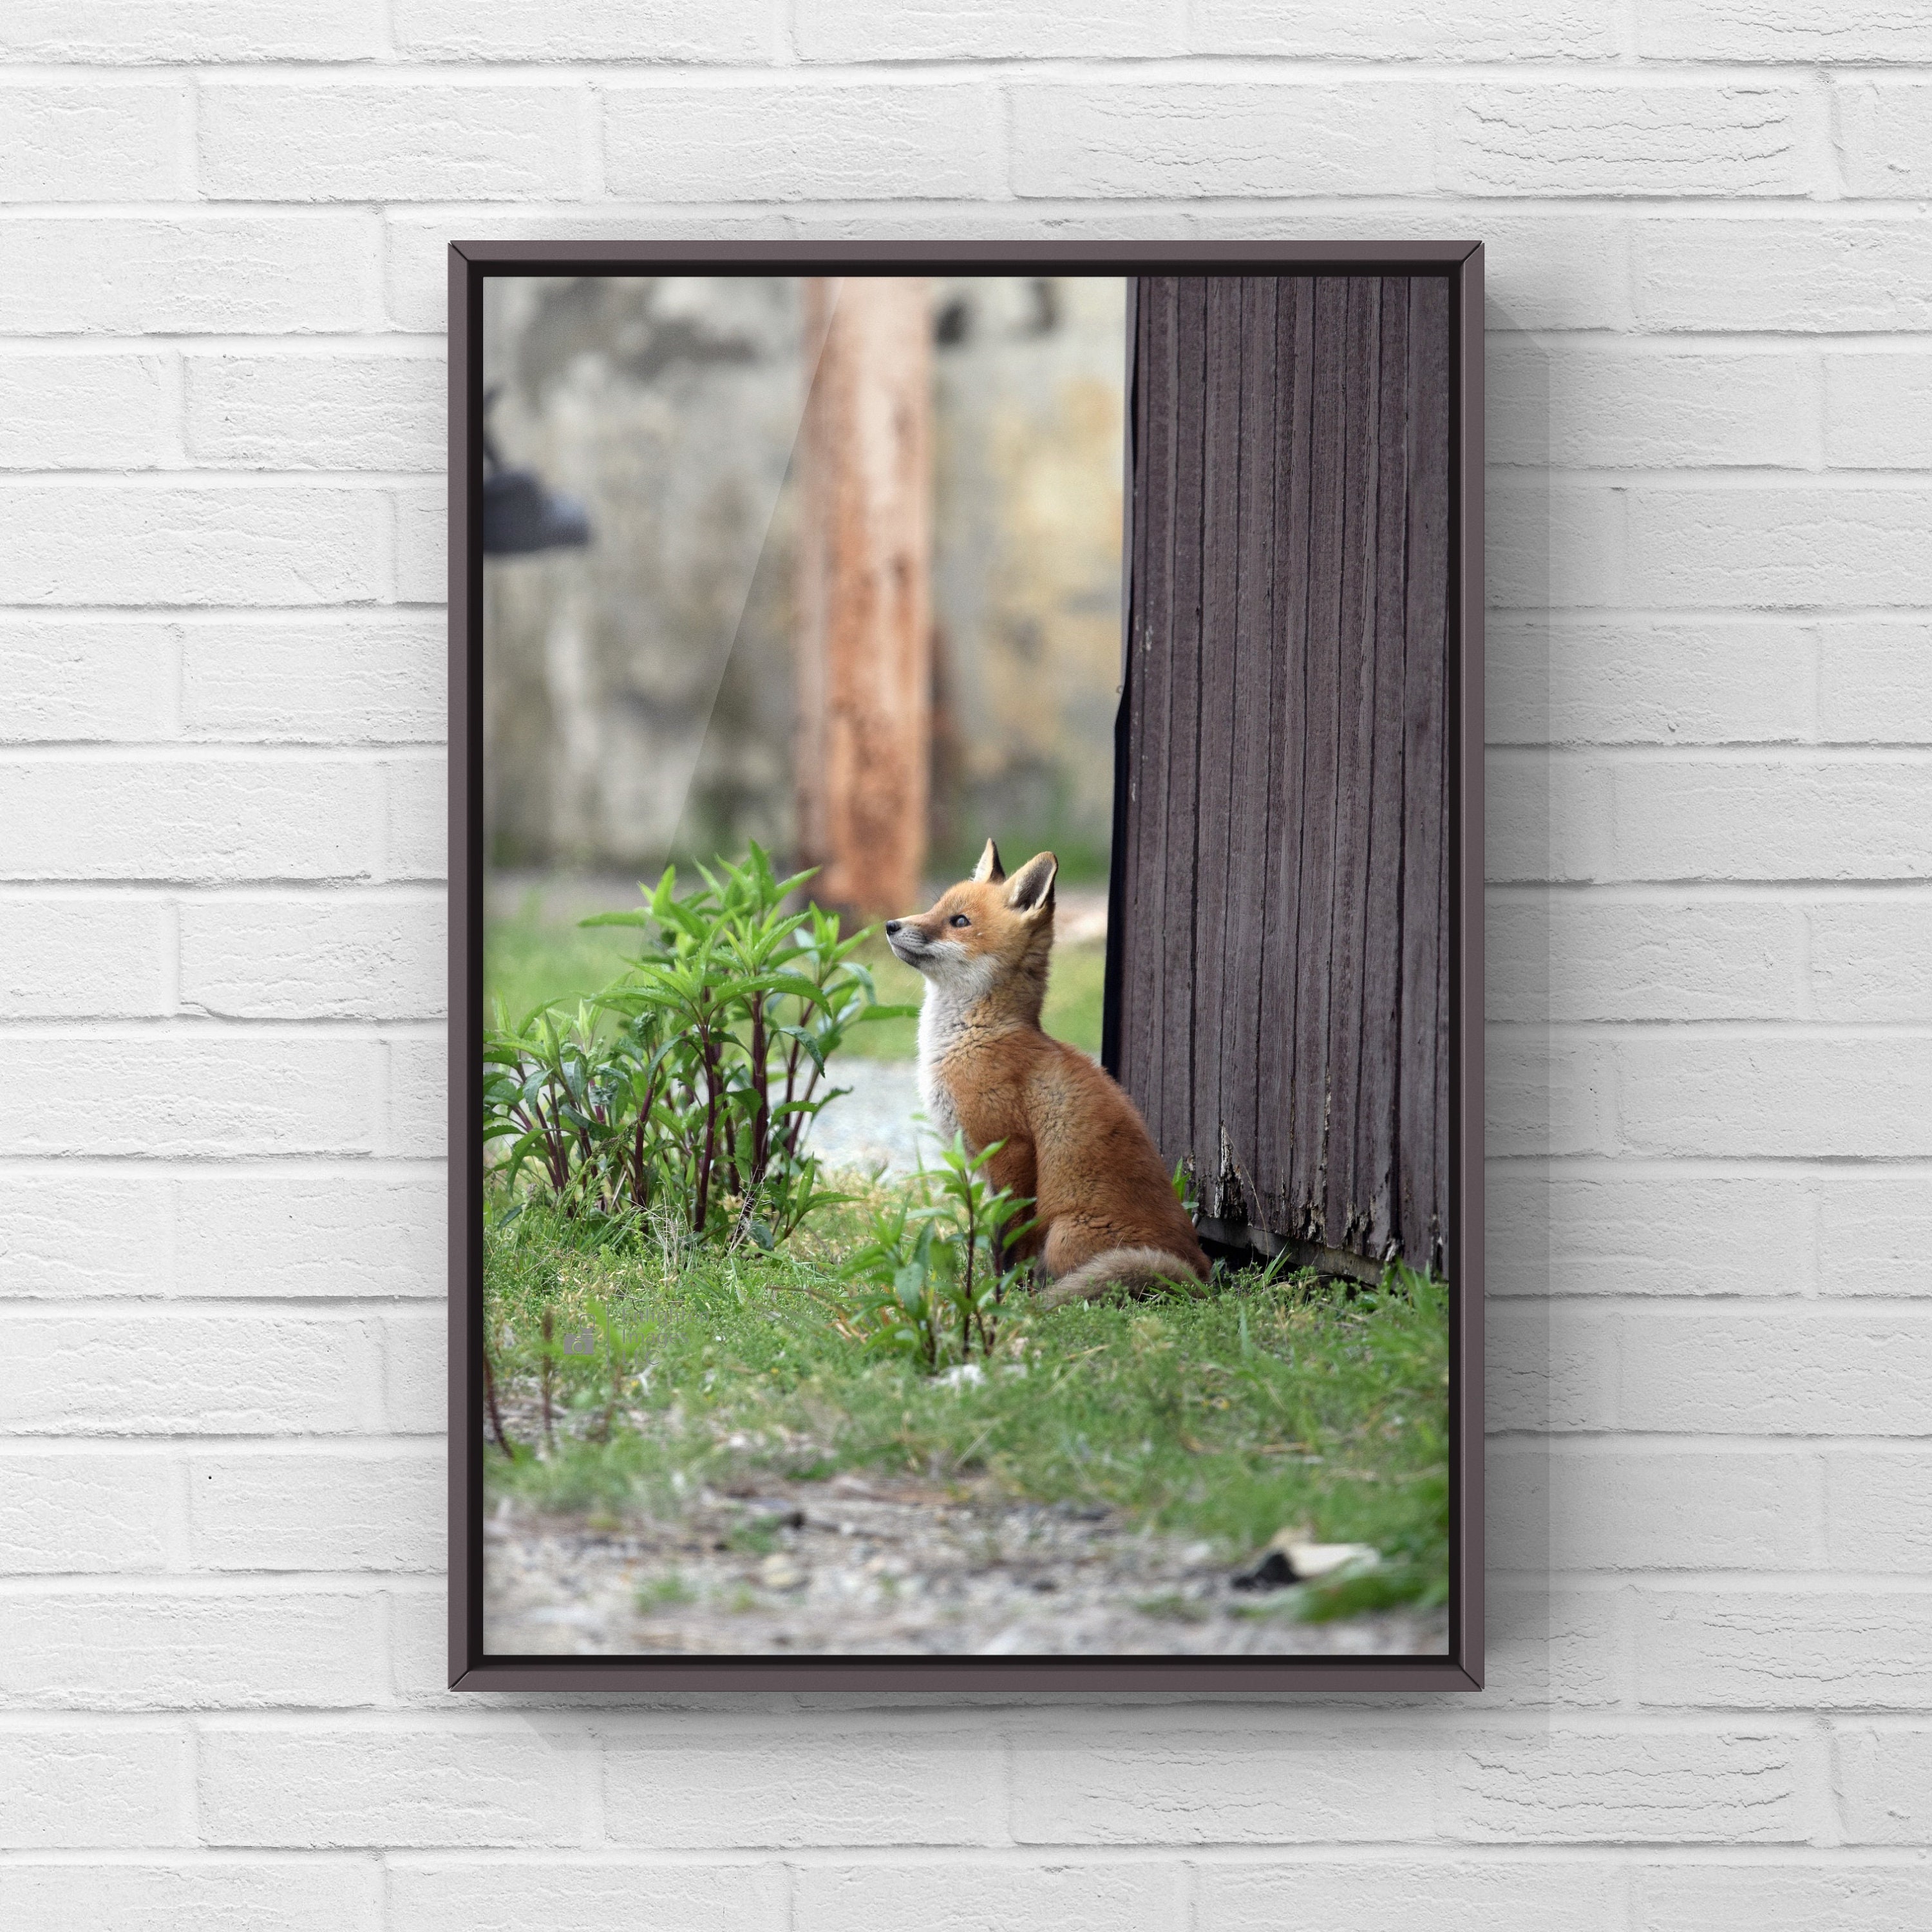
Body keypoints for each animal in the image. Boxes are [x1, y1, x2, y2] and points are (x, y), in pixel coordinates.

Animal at [884, 839, 1209, 1308]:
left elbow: (1007, 1241)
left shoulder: (1011, 1149)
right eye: (936, 908)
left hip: (1064, 1234)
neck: (975, 1037)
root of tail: (1202, 1274)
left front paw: (1000, 1299)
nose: (891, 925)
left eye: (959, 921)